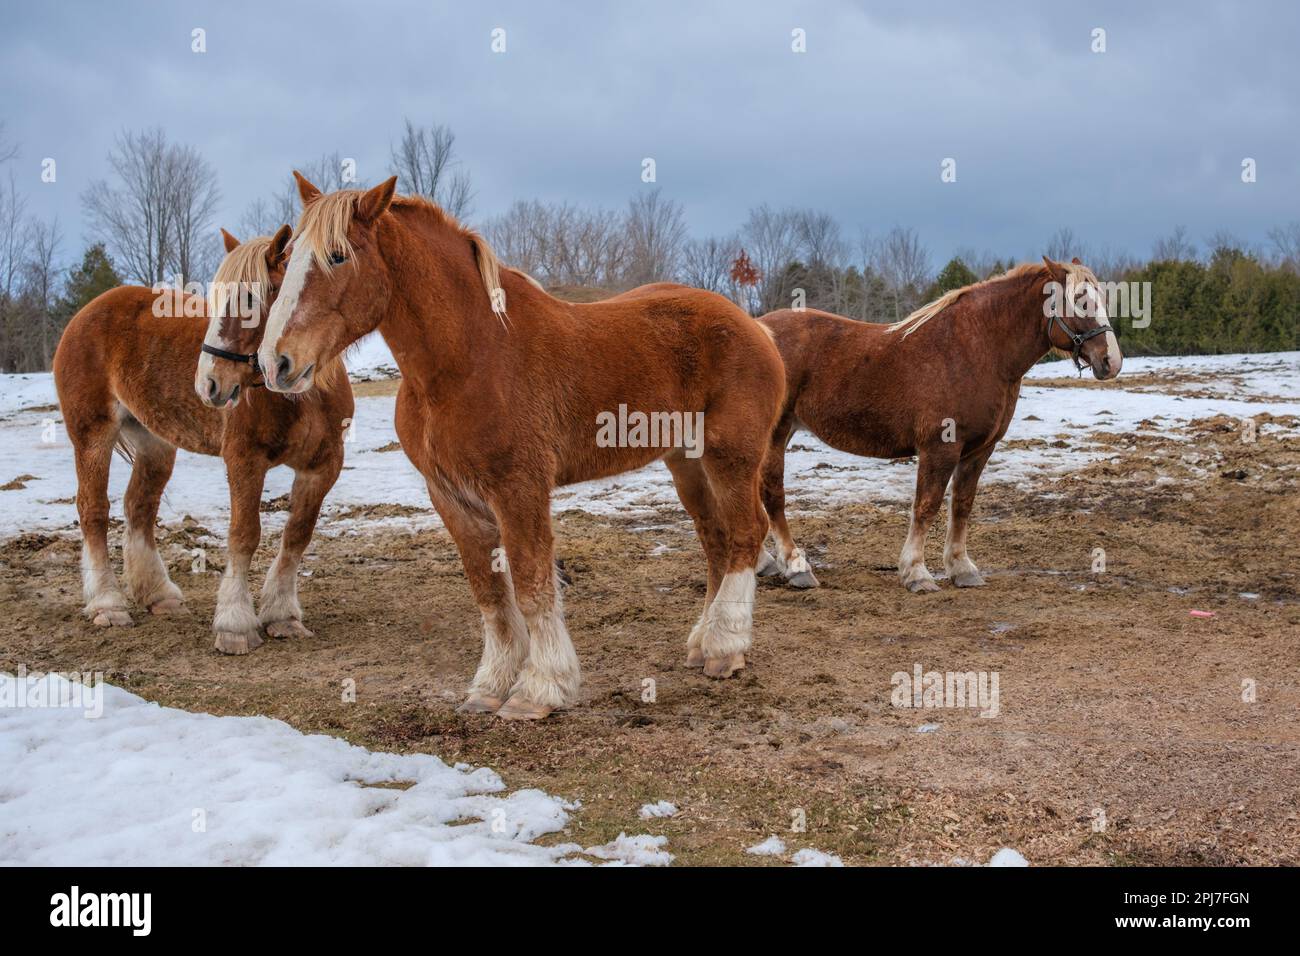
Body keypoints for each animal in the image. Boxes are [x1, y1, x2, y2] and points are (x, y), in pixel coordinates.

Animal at [52, 227, 353, 654]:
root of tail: (88, 312)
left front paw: (282, 615)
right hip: (92, 434)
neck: (301, 396)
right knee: (93, 510)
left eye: (250, 300)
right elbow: (244, 535)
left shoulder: (323, 466)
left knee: (139, 507)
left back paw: (158, 594)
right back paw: (107, 603)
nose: (209, 384)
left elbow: (297, 535)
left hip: (154, 443)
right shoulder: (244, 460)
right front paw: (235, 623)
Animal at [256, 172, 786, 720]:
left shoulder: (519, 488)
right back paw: (704, 642)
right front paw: (491, 685)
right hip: (688, 465)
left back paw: (726, 648)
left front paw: (540, 689)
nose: (275, 363)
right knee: (717, 541)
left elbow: (532, 585)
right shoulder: (452, 498)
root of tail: (755, 327)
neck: (470, 358)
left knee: (746, 532)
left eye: (338, 256)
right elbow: (490, 593)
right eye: (289, 256)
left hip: (730, 457)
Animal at [756, 256, 1123, 593]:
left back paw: (765, 563)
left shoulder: (979, 450)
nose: (1111, 361)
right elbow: (927, 505)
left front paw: (961, 568)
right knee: (772, 494)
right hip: (775, 434)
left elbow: (961, 505)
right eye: (1081, 300)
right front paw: (917, 573)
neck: (976, 349)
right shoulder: (940, 447)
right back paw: (796, 567)